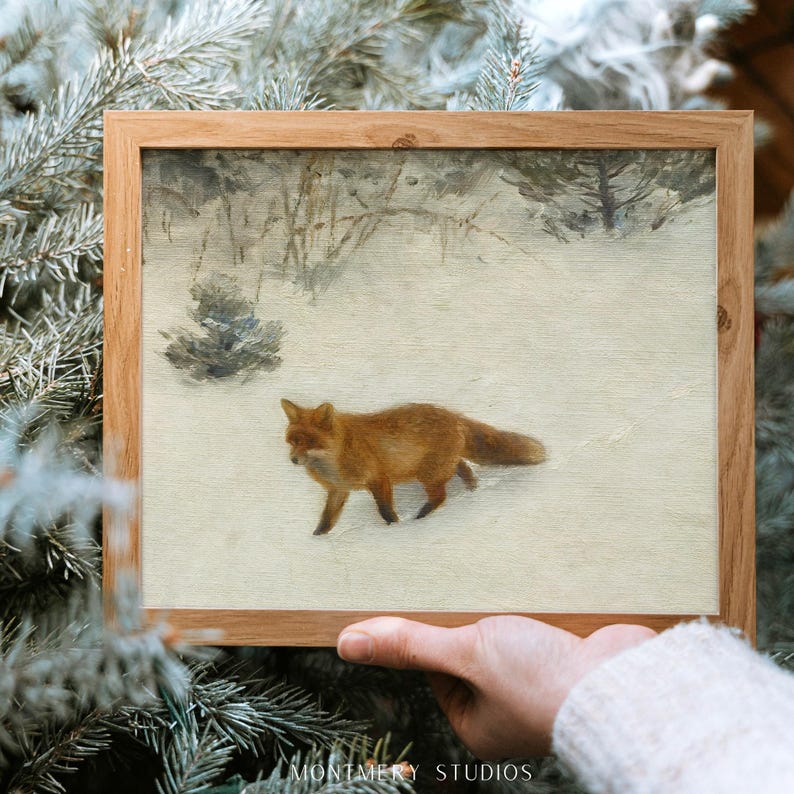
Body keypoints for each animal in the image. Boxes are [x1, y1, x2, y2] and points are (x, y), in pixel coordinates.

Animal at [280, 399, 546, 535]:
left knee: (440, 496)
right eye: (293, 441)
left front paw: (395, 530)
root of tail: (452, 415)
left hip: (428, 473)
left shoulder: (379, 479)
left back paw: (420, 519)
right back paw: (472, 492)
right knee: (463, 468)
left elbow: (386, 512)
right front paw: (317, 540)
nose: (293, 459)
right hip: (440, 466)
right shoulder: (338, 490)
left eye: (309, 441)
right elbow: (326, 521)